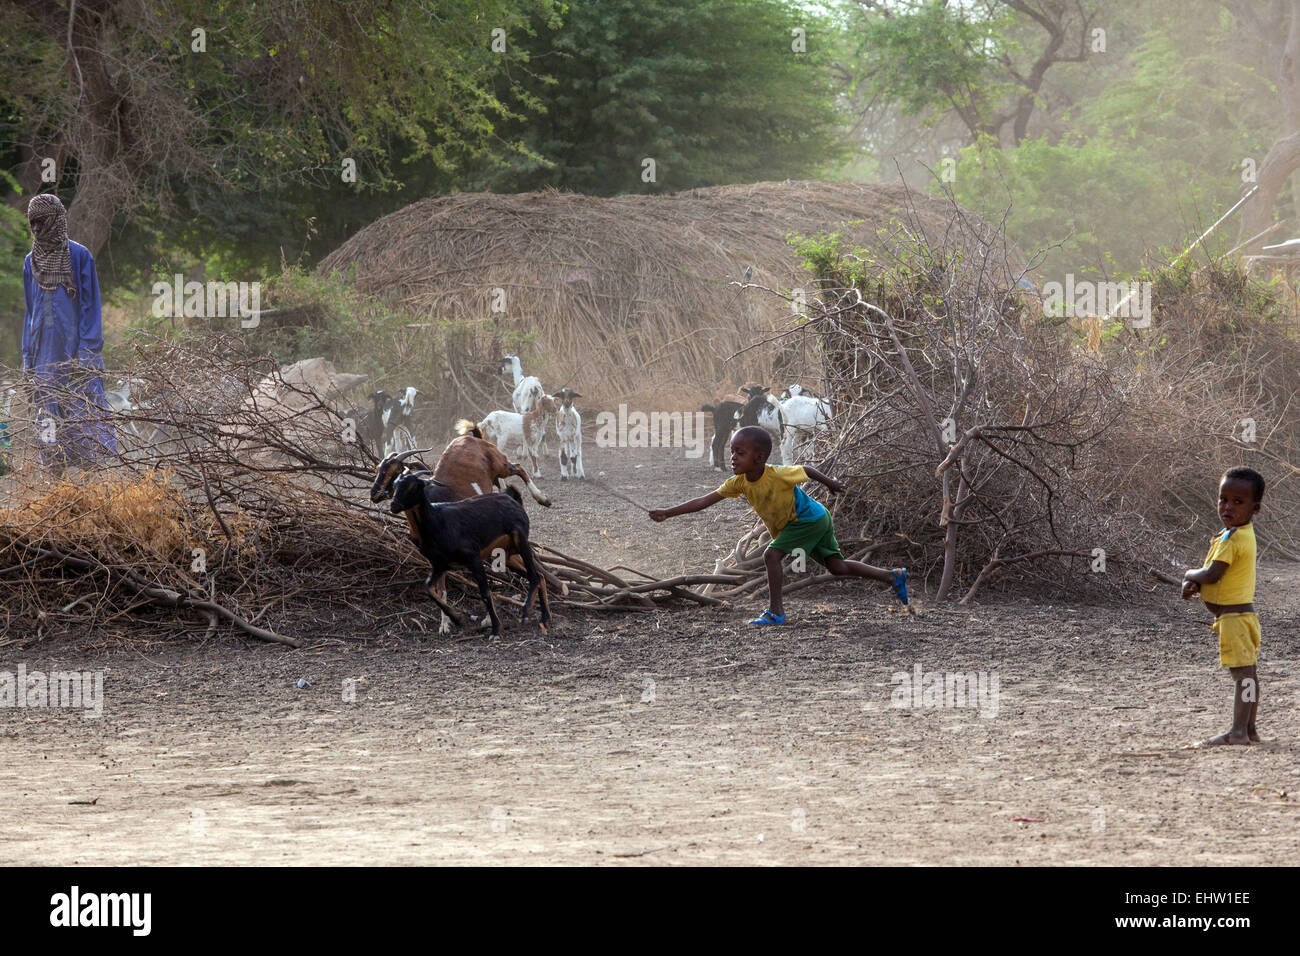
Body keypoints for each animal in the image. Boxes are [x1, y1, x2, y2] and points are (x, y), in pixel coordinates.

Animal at [385, 470, 549, 637]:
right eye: (395, 485)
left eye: (412, 486)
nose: (394, 505)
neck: (435, 521)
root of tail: (514, 500)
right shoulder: (440, 564)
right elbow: (429, 588)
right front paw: (457, 618)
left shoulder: (473, 557)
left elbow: (484, 592)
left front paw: (496, 629)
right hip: (507, 554)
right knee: (540, 576)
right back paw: (545, 619)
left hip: (521, 540)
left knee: (535, 576)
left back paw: (526, 612)